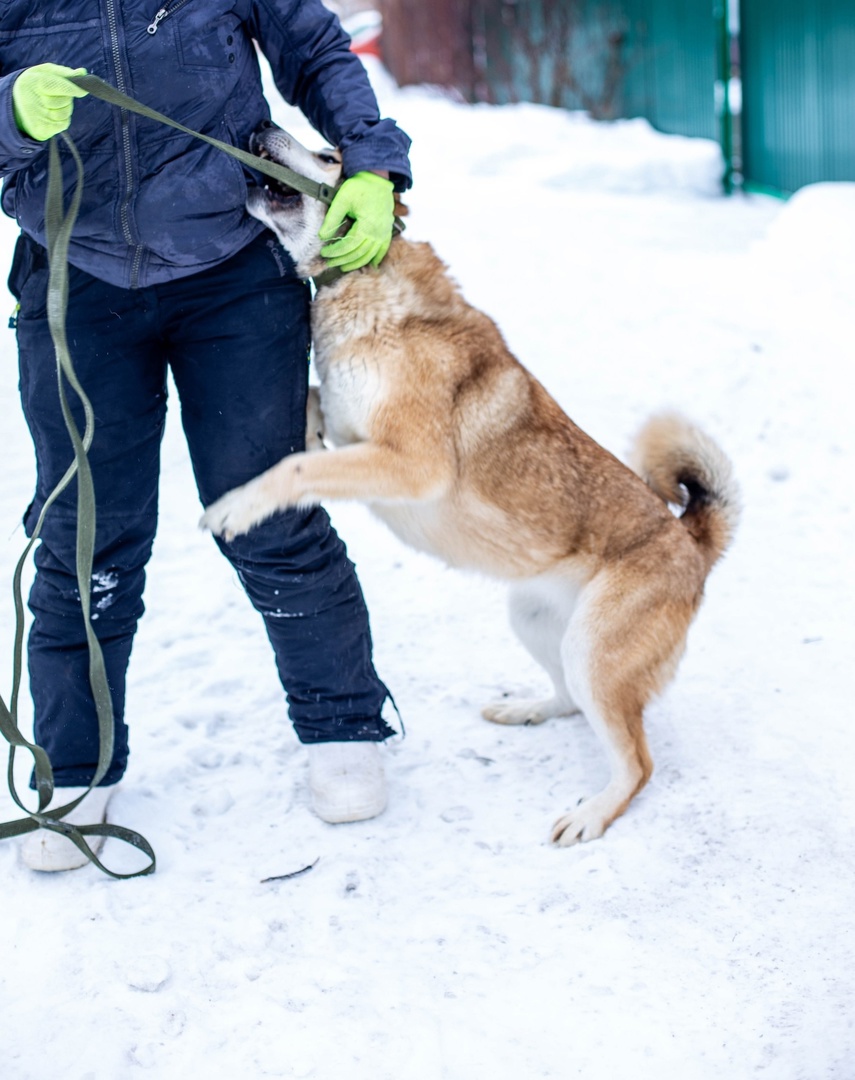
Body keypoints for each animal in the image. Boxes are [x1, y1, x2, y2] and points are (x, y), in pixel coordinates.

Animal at [201, 124, 742, 842]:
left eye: (327, 154)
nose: (259, 127)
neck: (372, 279)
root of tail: (689, 539)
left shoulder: (411, 463)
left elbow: (291, 467)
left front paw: (237, 506)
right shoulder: (350, 437)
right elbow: (311, 425)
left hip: (592, 653)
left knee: (637, 762)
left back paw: (591, 815)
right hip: (539, 626)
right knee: (573, 705)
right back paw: (527, 710)